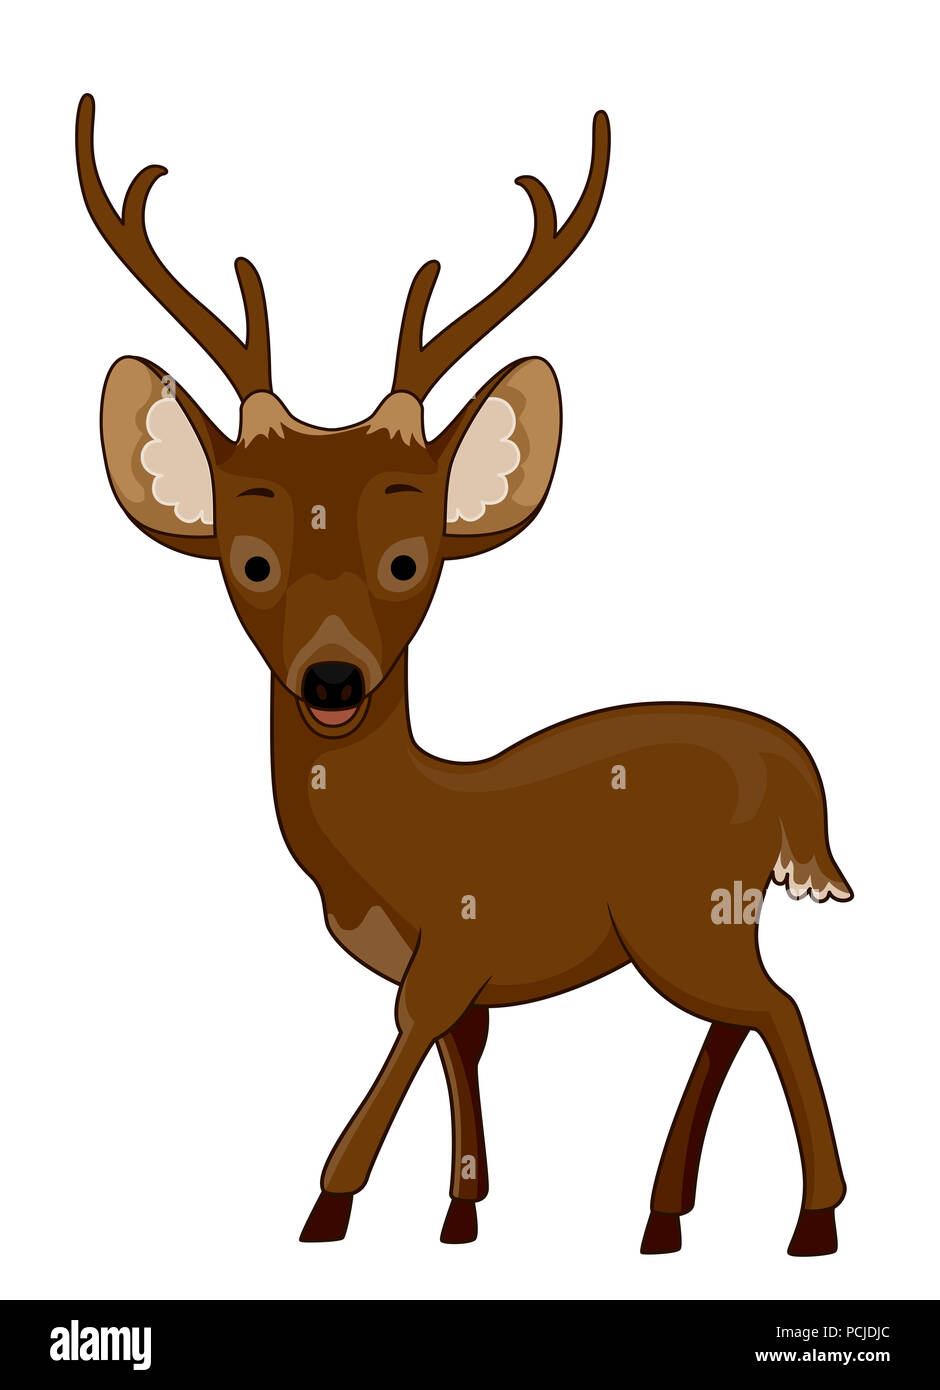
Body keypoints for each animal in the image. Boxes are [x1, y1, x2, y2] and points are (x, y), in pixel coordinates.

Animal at [77, 93, 853, 1256]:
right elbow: (462, 1048)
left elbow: (414, 1029)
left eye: (409, 559)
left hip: (685, 909)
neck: (395, 848)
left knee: (779, 1009)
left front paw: (328, 1205)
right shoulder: (459, 962)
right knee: (738, 1016)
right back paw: (663, 1213)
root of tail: (798, 770)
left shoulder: (458, 934)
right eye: (250, 560)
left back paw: (811, 1220)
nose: (334, 679)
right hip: (702, 918)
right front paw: (461, 1210)